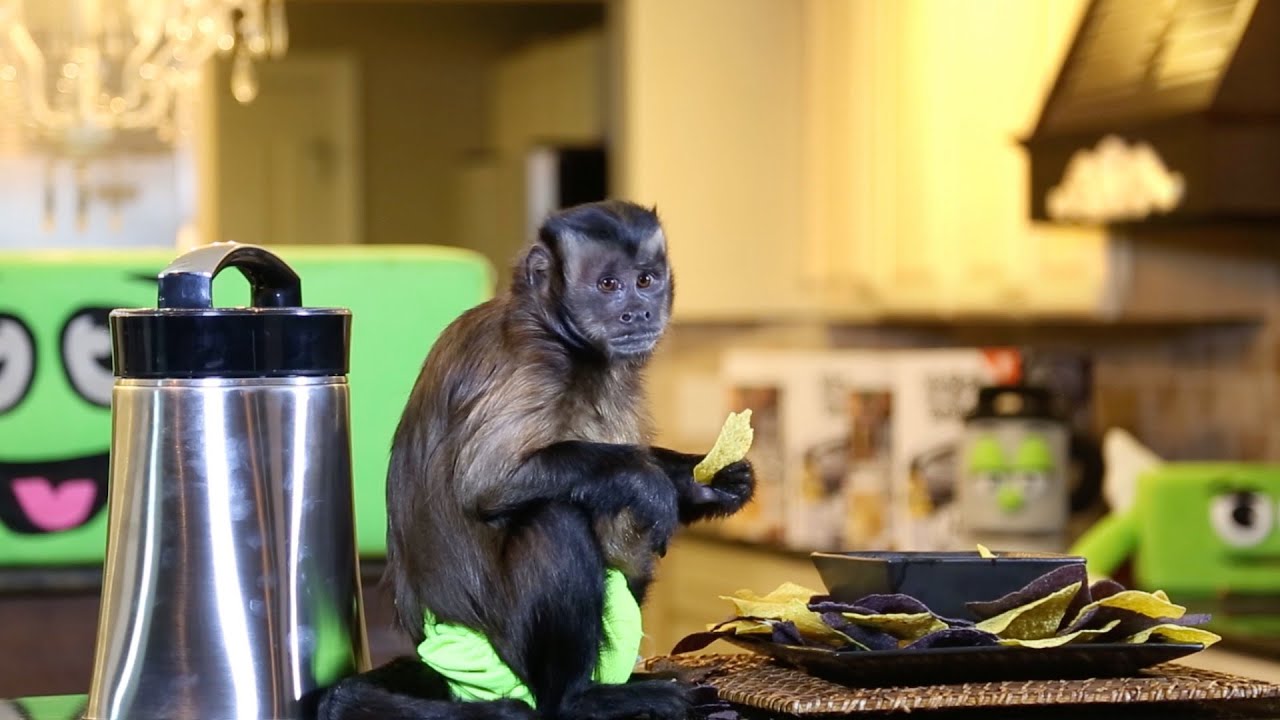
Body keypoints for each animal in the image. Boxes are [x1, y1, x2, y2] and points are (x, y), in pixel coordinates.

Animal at [318, 200, 755, 720]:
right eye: (609, 285)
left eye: (646, 279)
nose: (638, 311)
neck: (561, 336)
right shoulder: (532, 367)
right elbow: (487, 482)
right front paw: (645, 481)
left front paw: (707, 482)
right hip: (507, 652)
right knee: (556, 518)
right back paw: (580, 698)